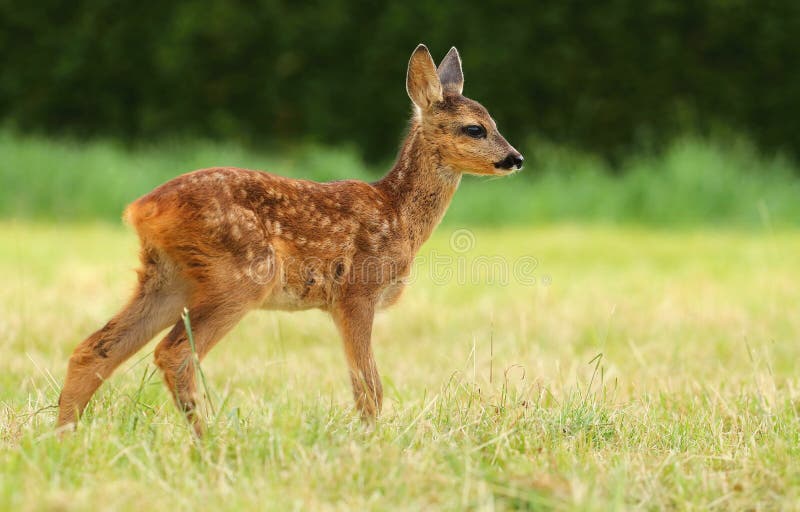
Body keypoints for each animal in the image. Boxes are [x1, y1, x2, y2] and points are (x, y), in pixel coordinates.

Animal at [56, 44, 523, 436]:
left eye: (495, 123)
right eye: (474, 129)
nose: (515, 158)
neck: (397, 214)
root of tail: (142, 208)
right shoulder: (357, 291)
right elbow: (369, 387)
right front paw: (372, 441)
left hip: (169, 278)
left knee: (94, 349)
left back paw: (64, 437)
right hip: (241, 274)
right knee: (174, 355)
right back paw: (208, 442)